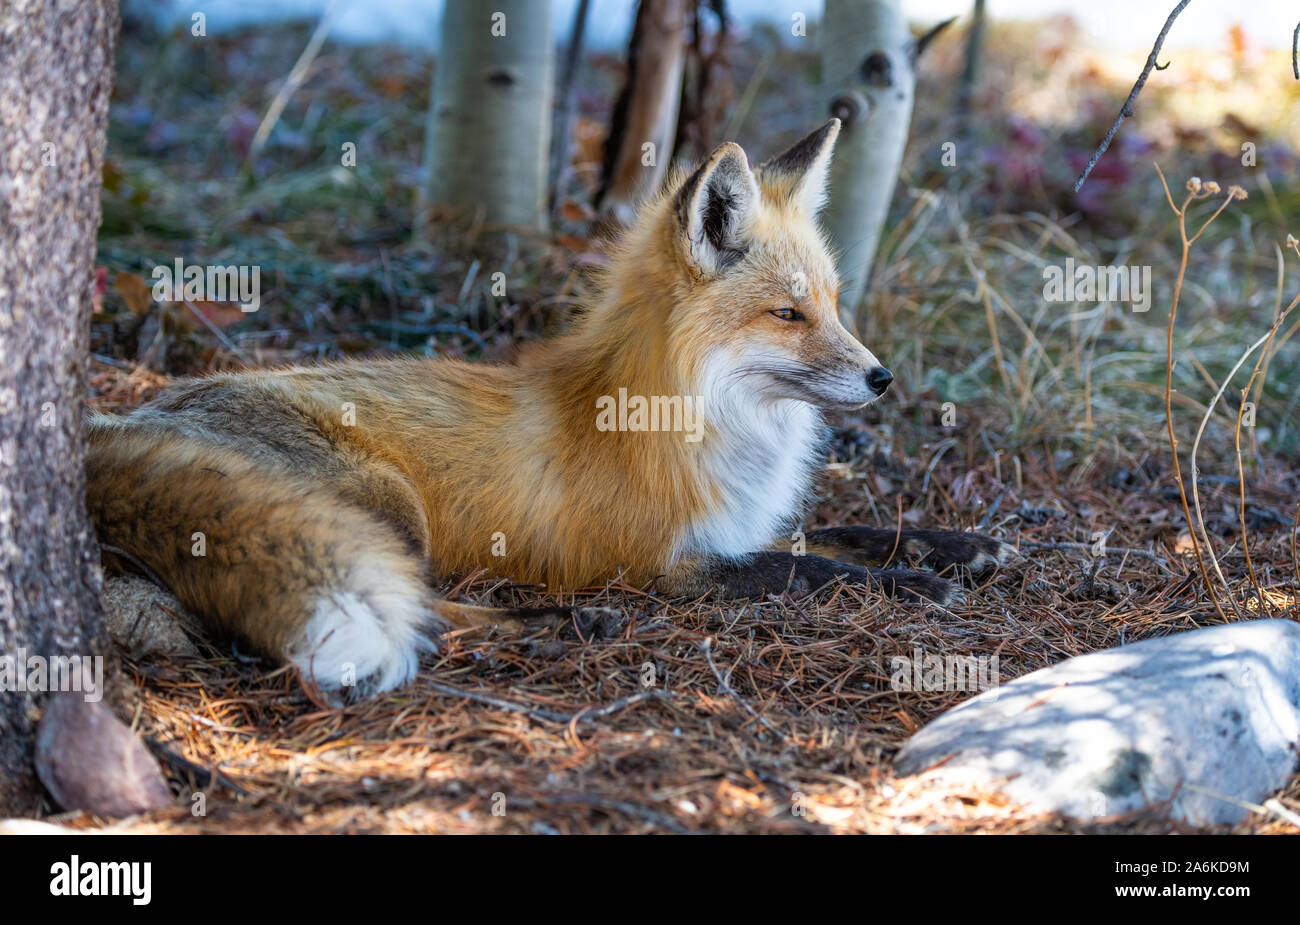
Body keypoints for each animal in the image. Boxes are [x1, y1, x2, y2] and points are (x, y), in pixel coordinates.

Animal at [85, 119, 1014, 701]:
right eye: (788, 314)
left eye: (831, 304)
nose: (883, 378)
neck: (696, 419)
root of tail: (109, 427)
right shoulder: (668, 565)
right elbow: (816, 569)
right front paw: (914, 584)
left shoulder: (739, 525)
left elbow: (843, 533)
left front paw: (956, 545)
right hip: (389, 503)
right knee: (428, 610)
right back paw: (561, 625)